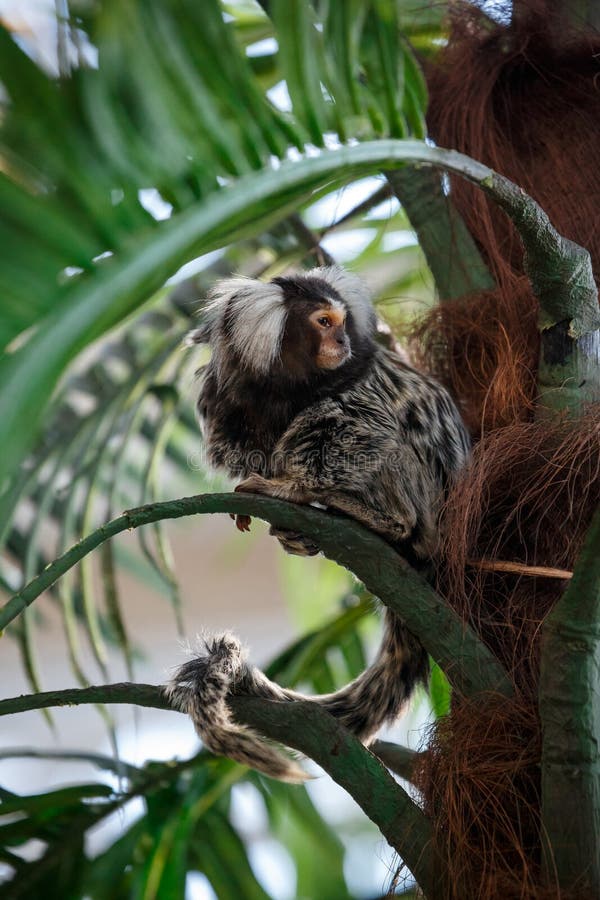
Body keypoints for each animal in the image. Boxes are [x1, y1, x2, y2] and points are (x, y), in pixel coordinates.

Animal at [167, 266, 471, 781]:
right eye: (323, 321)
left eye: (342, 321)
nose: (343, 341)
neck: (286, 389)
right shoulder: (229, 400)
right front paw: (283, 511)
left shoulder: (358, 388)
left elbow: (367, 427)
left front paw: (291, 489)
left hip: (432, 505)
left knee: (391, 455)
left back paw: (383, 522)